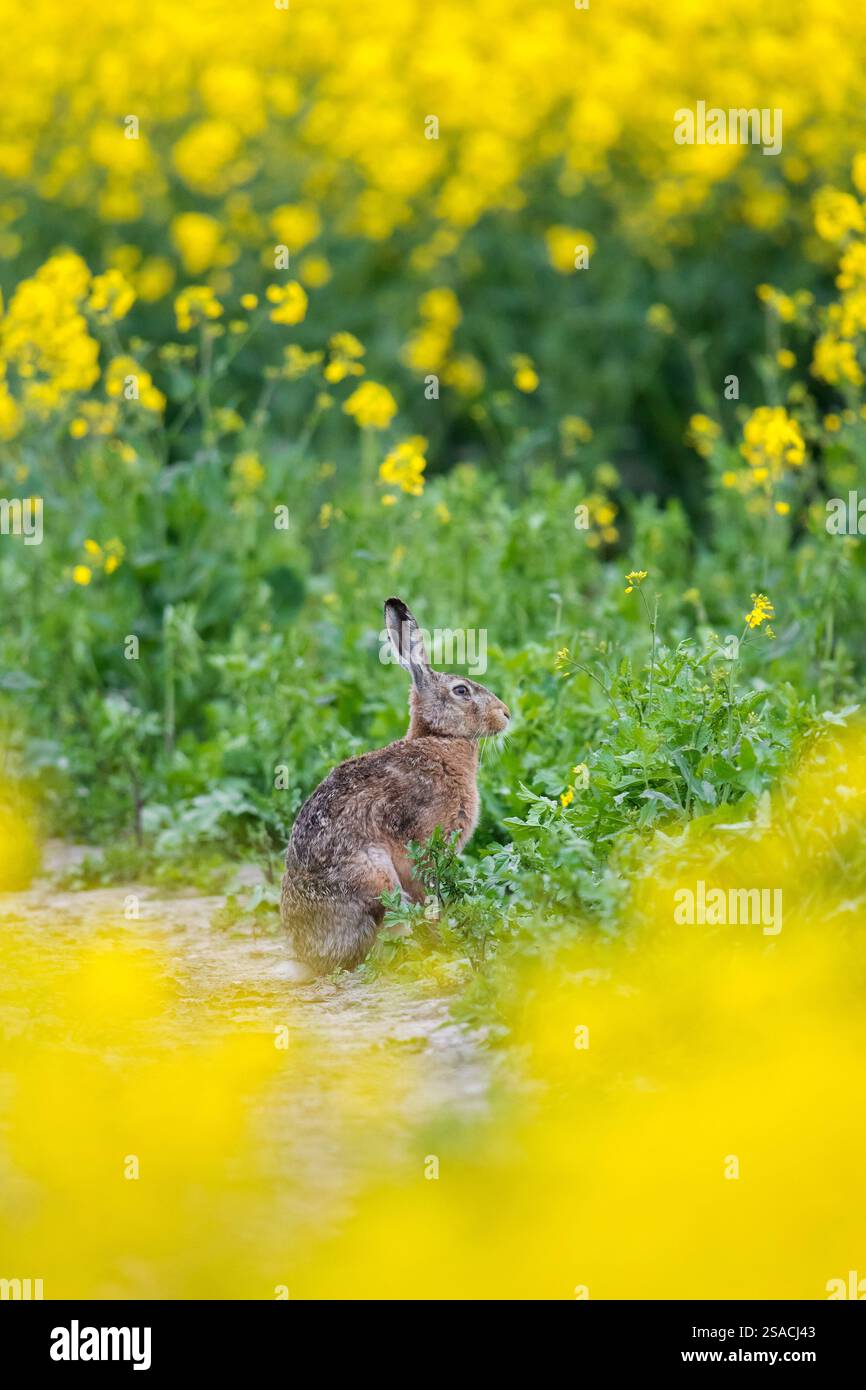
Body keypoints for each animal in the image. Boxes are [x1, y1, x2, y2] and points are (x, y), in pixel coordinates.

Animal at [280, 597, 510, 980]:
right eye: (462, 691)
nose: (506, 714)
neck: (439, 739)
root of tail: (309, 955)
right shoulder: (426, 845)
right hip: (376, 876)